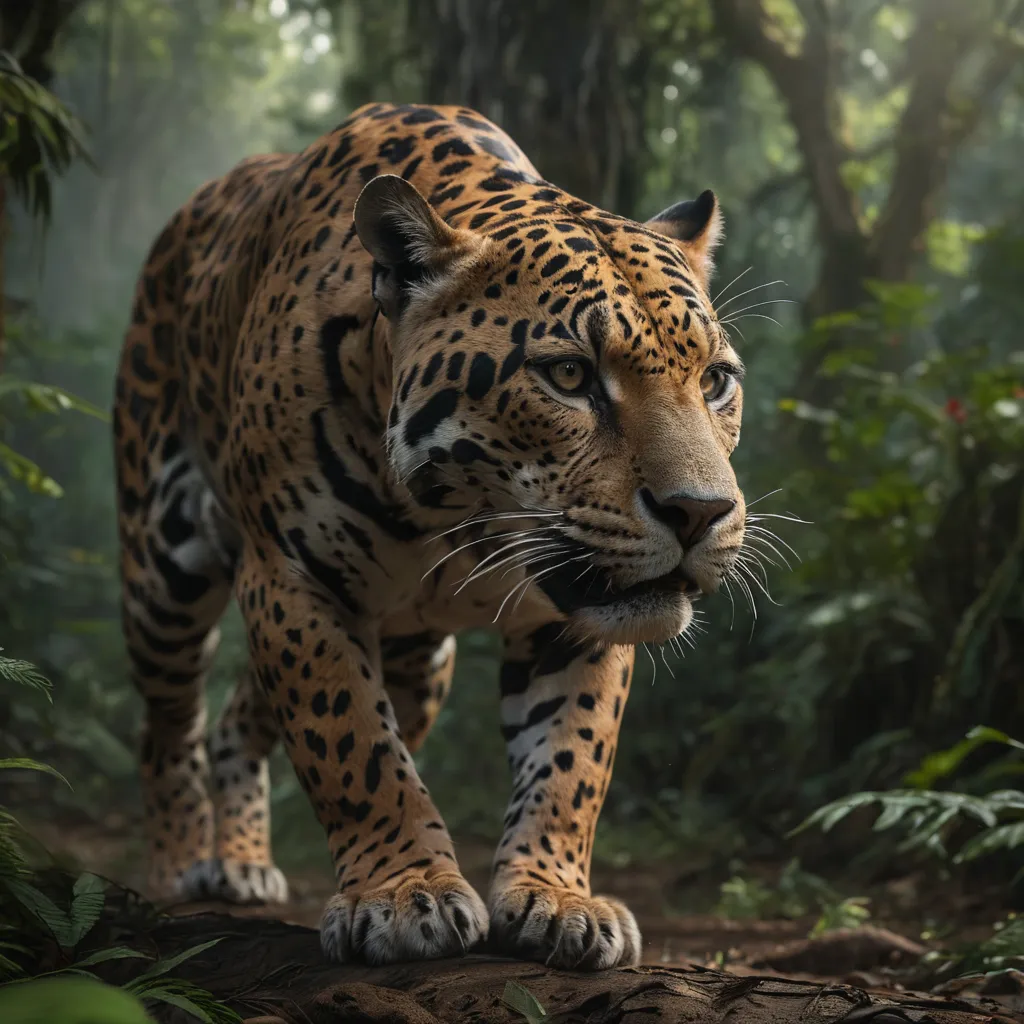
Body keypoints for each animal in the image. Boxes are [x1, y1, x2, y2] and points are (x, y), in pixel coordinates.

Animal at [112, 101, 747, 970]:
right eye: (571, 376)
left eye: (715, 381)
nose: (699, 511)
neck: (459, 520)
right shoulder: (292, 580)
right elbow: (354, 746)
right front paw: (402, 895)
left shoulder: (576, 618)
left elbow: (571, 761)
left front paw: (559, 897)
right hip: (162, 570)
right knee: (169, 724)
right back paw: (180, 866)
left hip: (418, 661)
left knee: (246, 717)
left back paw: (240, 863)